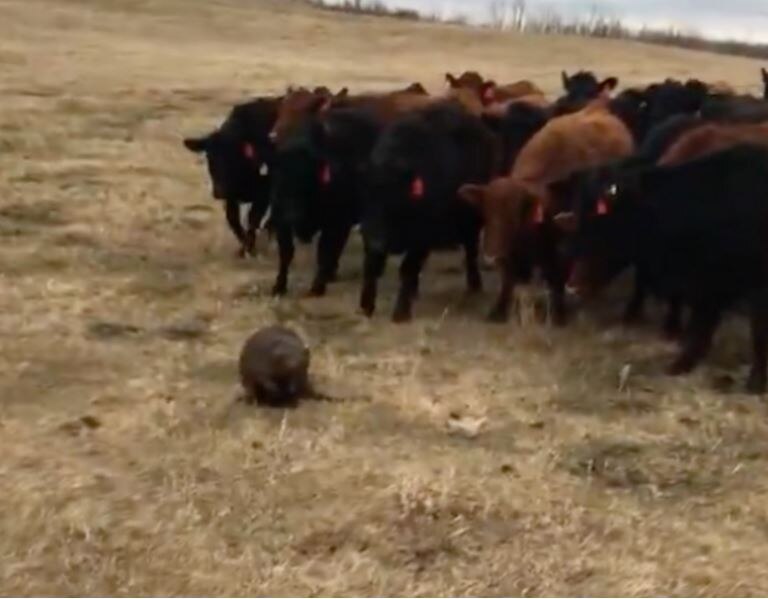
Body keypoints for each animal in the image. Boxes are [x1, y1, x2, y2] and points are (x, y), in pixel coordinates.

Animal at [183, 96, 280, 257]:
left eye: (233, 156)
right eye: (209, 157)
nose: (218, 192)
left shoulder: (264, 193)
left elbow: (253, 218)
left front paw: (249, 248)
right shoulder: (231, 197)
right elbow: (233, 219)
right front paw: (243, 247)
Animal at [360, 101, 499, 322]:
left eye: (396, 197)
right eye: (367, 194)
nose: (376, 242)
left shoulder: (421, 237)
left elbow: (407, 268)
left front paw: (401, 313)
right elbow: (372, 267)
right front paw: (366, 307)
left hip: (472, 220)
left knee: (471, 250)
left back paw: (474, 285)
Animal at [458, 104, 634, 323]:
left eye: (514, 216)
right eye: (486, 212)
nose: (491, 254)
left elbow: (557, 279)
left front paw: (559, 314)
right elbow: (508, 280)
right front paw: (498, 310)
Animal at [558, 144, 768, 393]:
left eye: (598, 217)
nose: (572, 286)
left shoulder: (753, 289)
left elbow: (757, 334)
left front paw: (756, 383)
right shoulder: (708, 284)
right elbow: (700, 328)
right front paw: (680, 365)